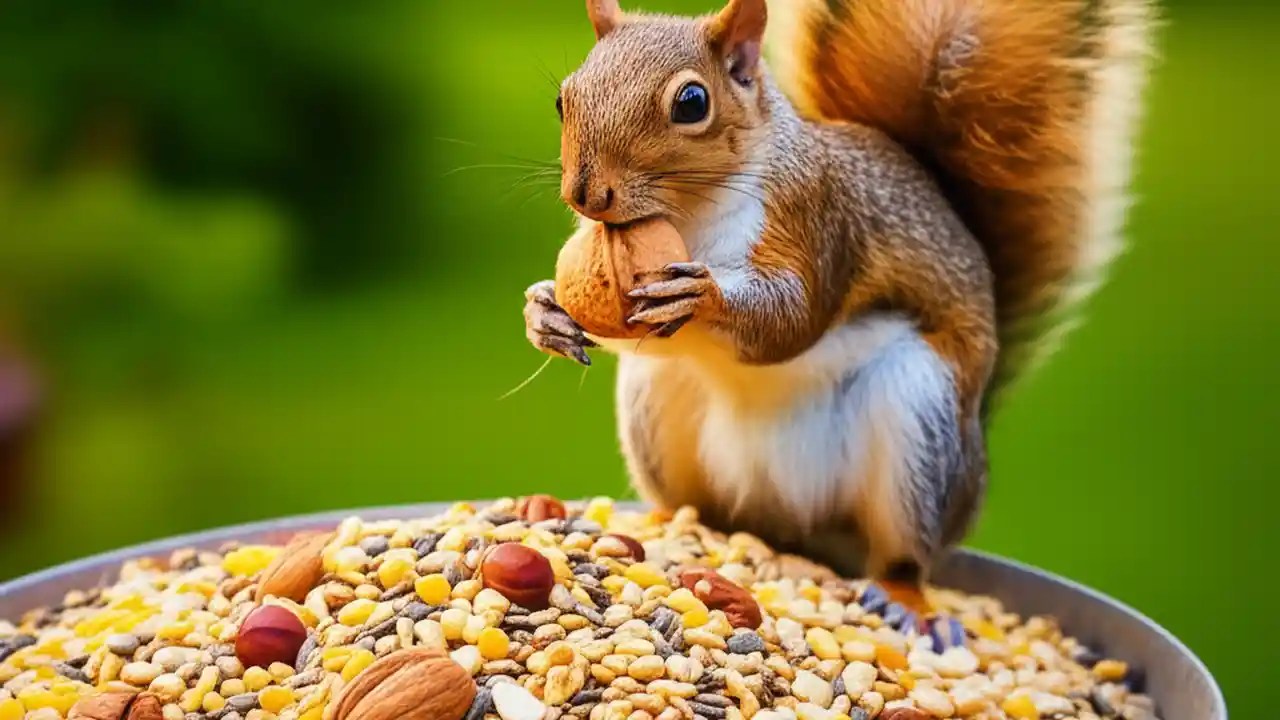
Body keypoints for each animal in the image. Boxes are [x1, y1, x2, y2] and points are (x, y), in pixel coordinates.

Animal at [522, 0, 1153, 619]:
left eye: (692, 103)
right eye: (563, 98)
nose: (586, 194)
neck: (688, 214)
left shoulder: (817, 219)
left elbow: (792, 319)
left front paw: (705, 295)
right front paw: (545, 311)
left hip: (921, 427)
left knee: (907, 553)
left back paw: (901, 597)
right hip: (656, 407)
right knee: (701, 509)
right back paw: (662, 528)